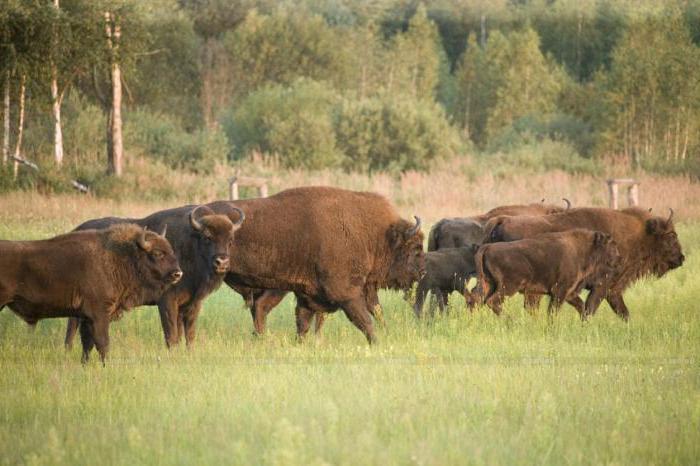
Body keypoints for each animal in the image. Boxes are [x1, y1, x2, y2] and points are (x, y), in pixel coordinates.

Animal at [0, 224, 180, 362]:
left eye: (171, 250)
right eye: (157, 253)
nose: (178, 273)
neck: (119, 258)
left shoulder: (85, 318)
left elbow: (87, 345)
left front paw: (84, 364)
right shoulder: (99, 314)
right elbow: (103, 343)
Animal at [65, 206, 245, 348]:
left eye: (230, 240)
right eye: (208, 237)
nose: (222, 262)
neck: (191, 243)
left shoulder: (192, 304)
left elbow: (189, 335)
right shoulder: (167, 302)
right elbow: (172, 335)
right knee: (72, 325)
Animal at [202, 187, 422, 344]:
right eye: (414, 249)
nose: (422, 272)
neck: (372, 234)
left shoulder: (310, 296)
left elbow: (304, 323)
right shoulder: (346, 292)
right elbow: (364, 319)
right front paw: (377, 342)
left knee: (259, 308)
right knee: (260, 308)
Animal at [468, 229, 620, 316]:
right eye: (611, 245)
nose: (619, 258)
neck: (582, 248)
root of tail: (487, 247)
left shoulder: (569, 292)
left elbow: (581, 306)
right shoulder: (560, 291)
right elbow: (553, 311)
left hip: (488, 283)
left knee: (476, 299)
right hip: (508, 287)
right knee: (492, 301)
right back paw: (511, 320)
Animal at [484, 208, 688, 320]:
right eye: (671, 235)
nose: (681, 258)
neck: (638, 235)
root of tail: (502, 220)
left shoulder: (612, 289)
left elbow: (622, 312)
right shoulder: (603, 285)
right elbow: (591, 308)